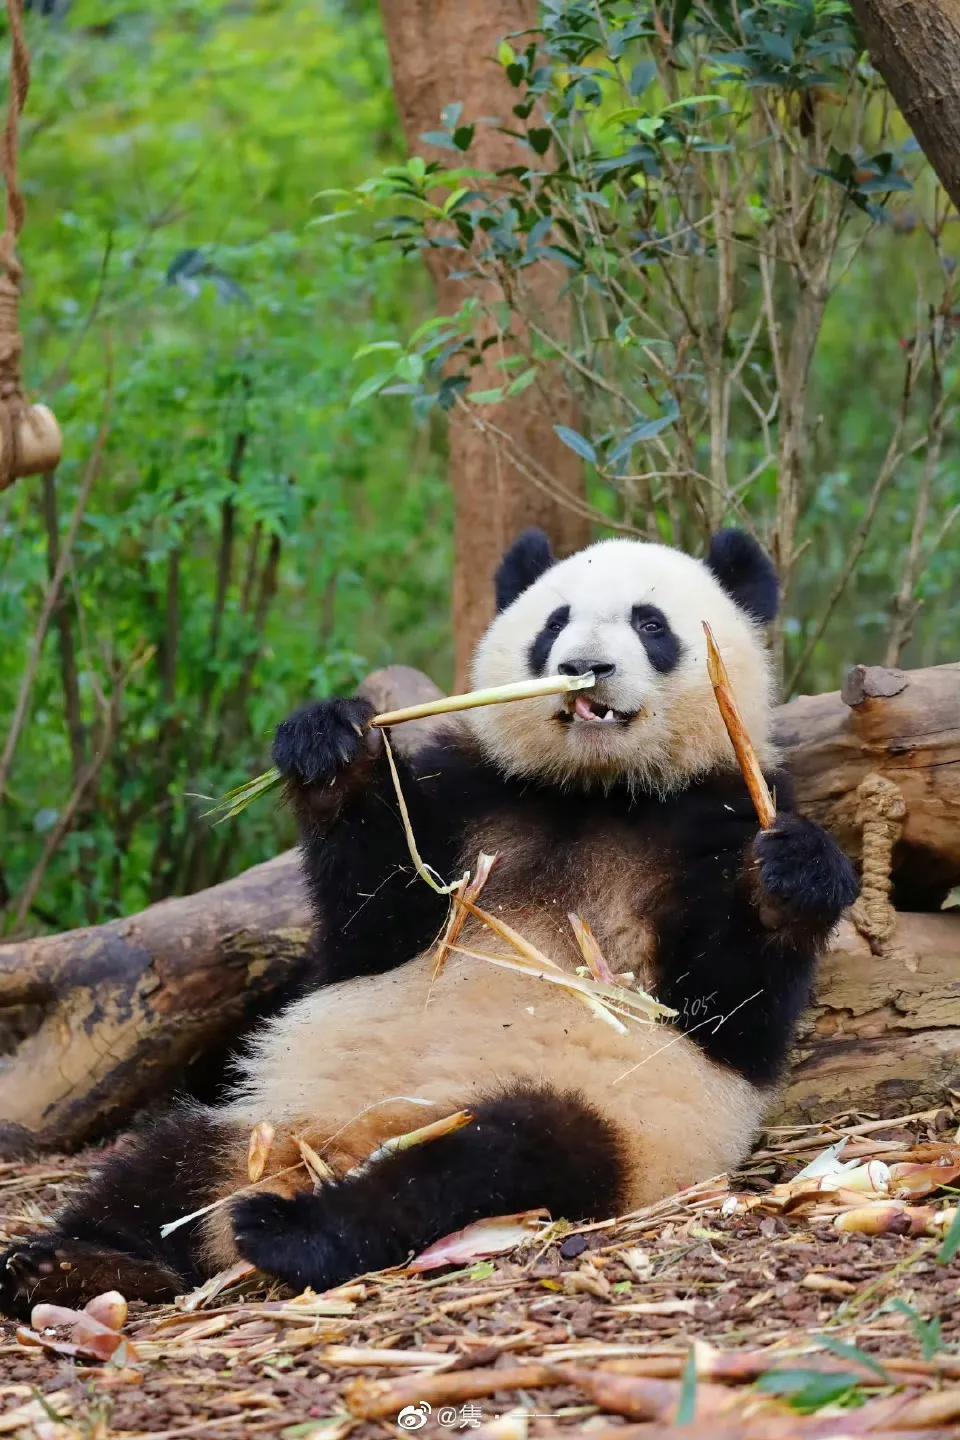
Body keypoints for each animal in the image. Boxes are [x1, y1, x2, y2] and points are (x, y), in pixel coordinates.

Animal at [0, 528, 858, 1318]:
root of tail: (338, 1149)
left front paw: (793, 876)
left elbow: (729, 1010)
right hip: (271, 1120)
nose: (581, 665)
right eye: (554, 622)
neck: (594, 792)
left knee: (490, 1161)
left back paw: (296, 1232)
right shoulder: (475, 797)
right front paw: (330, 748)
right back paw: (71, 1264)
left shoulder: (716, 813)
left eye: (651, 624)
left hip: (609, 1122)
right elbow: (373, 928)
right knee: (165, 1165)